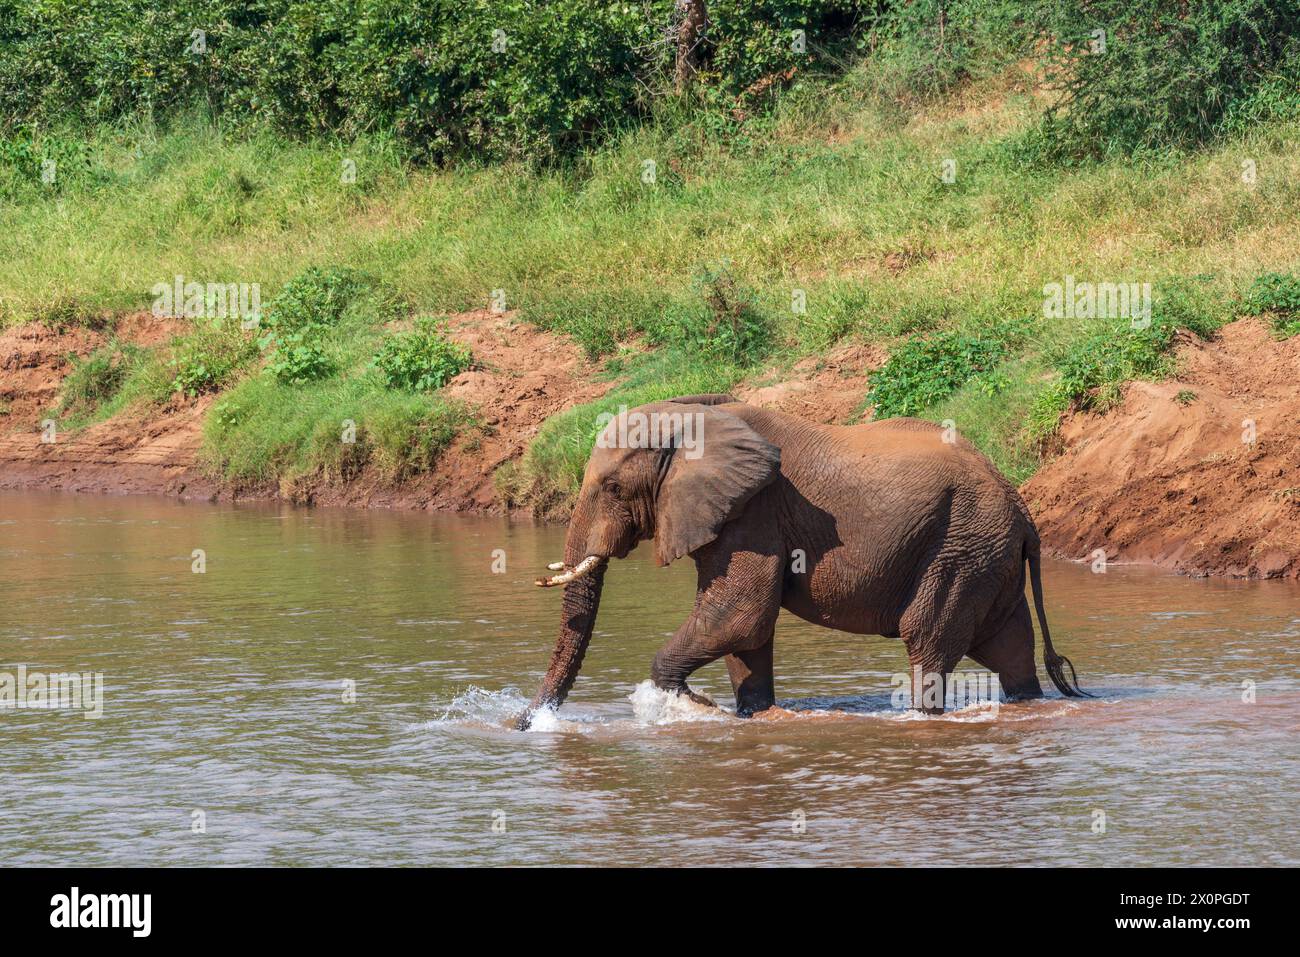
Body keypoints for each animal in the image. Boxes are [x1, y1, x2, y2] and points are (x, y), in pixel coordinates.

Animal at [515, 394, 1088, 730]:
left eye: (613, 488)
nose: (524, 724)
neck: (694, 417)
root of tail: (1021, 507)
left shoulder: (755, 512)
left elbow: (739, 613)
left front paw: (688, 703)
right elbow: (746, 633)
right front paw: (748, 715)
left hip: (961, 546)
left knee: (927, 639)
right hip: (987, 555)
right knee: (1010, 647)